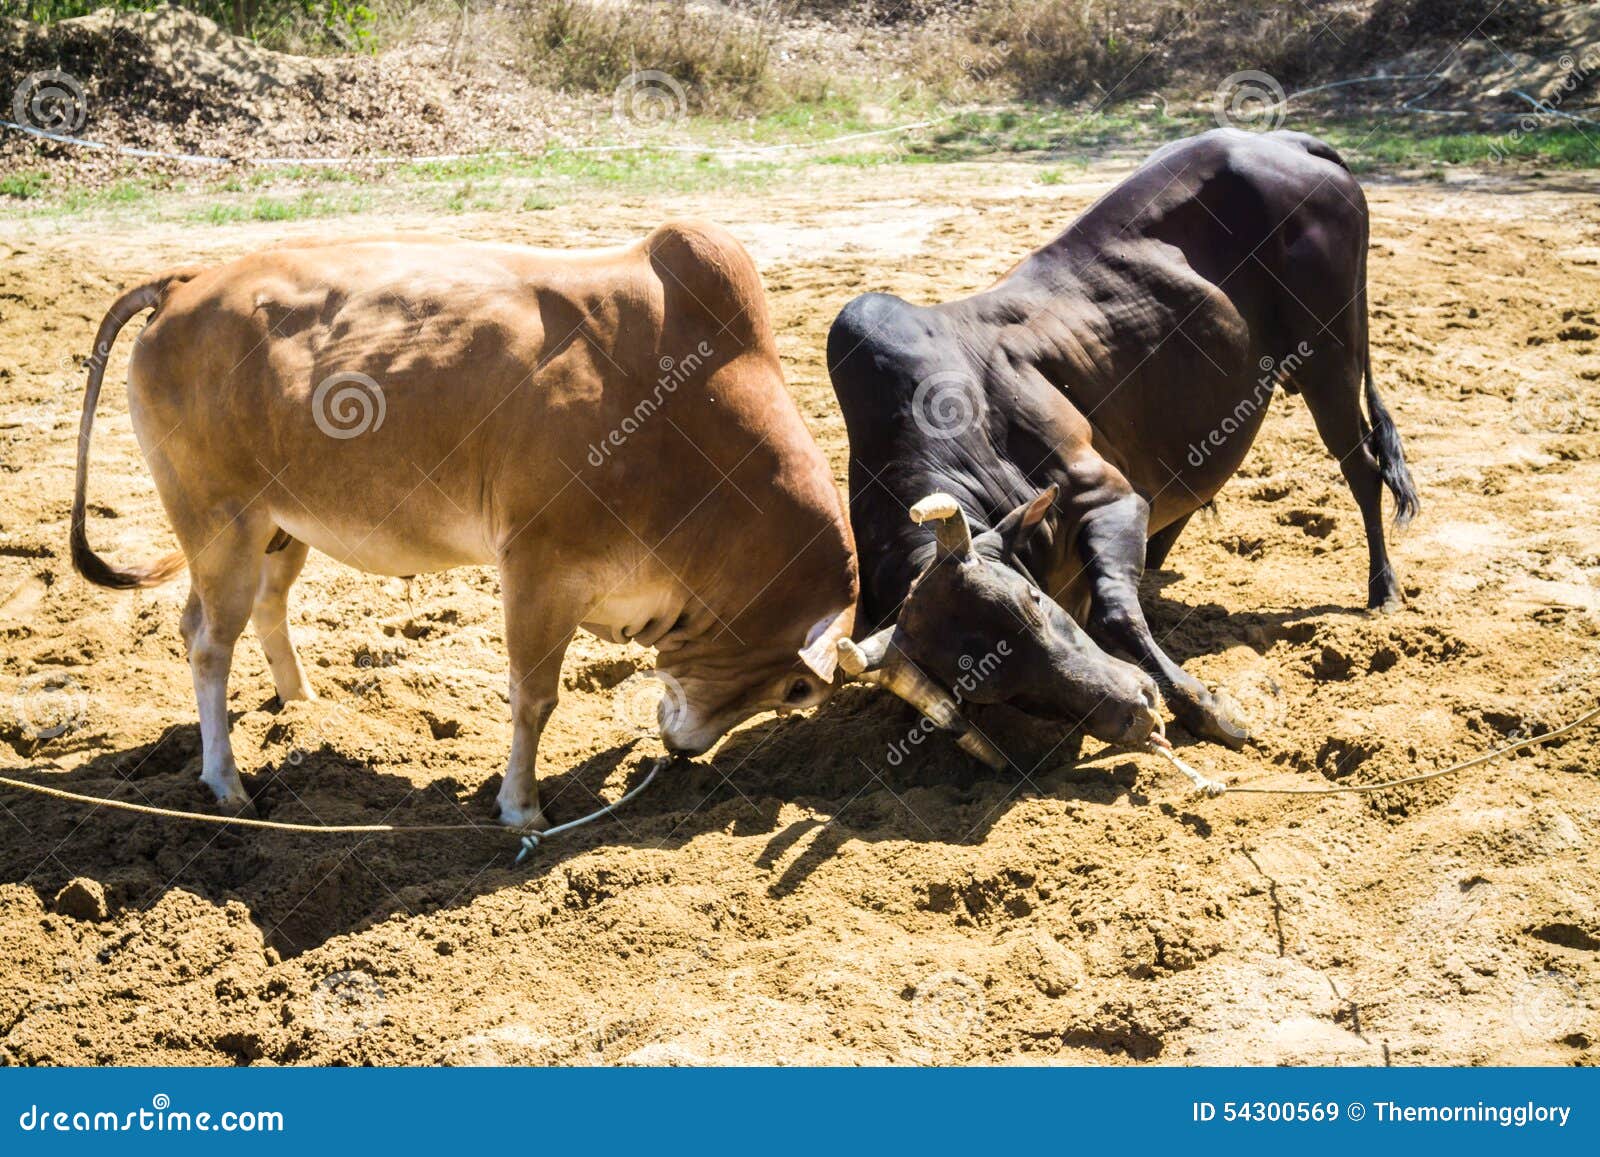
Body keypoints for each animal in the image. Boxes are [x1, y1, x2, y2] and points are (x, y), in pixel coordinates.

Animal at [71, 221, 858, 829]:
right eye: (796, 692)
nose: (686, 753)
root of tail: (186, 284)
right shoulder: (541, 567)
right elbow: (535, 698)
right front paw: (522, 808)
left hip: (273, 527)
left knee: (246, 612)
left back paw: (303, 707)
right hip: (220, 523)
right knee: (210, 644)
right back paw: (227, 785)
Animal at [828, 129, 1419, 757]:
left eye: (1031, 604)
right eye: (990, 690)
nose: (1134, 710)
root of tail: (1281, 139)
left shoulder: (1109, 495)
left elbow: (1115, 612)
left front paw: (1209, 709)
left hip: (1332, 358)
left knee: (1362, 468)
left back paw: (1383, 592)